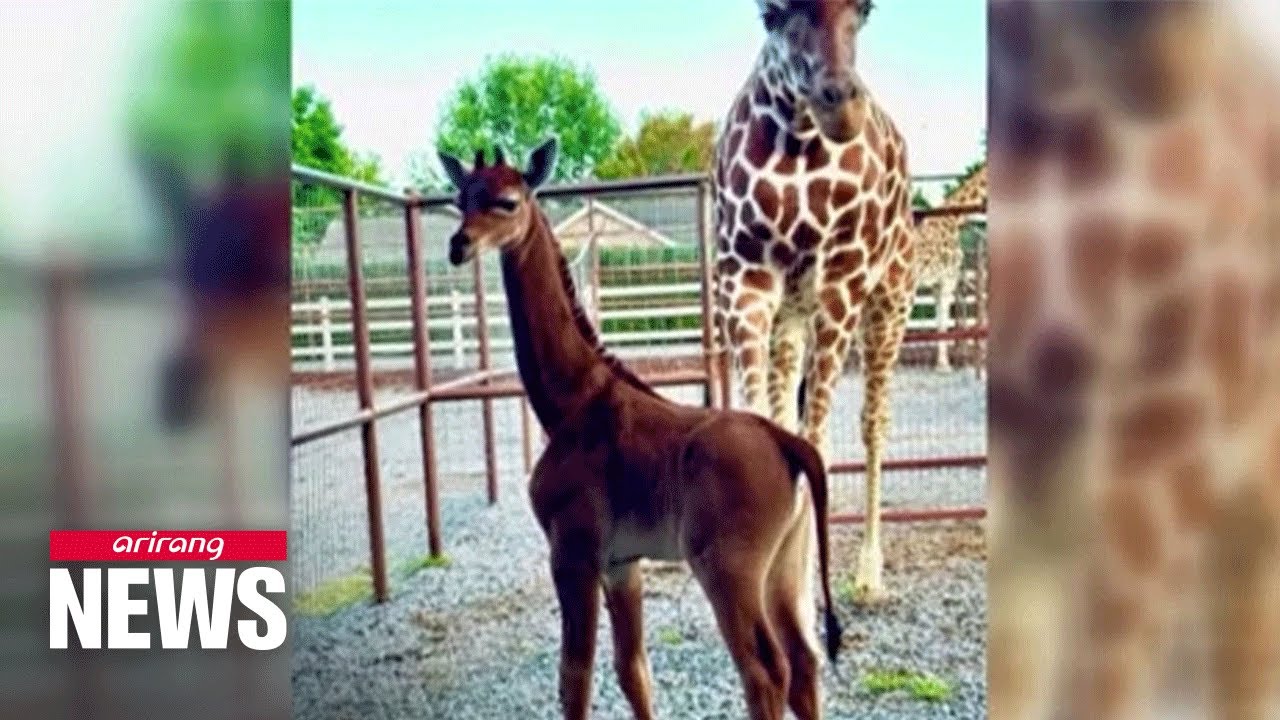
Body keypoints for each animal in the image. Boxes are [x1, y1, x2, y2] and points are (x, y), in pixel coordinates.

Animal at [713, 0, 914, 601]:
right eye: (770, 12)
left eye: (866, 10)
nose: (839, 105)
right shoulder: (744, 281)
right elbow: (766, 426)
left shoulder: (841, 282)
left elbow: (817, 440)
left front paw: (801, 593)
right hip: (792, 316)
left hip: (889, 300)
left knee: (874, 421)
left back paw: (869, 573)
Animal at [913, 162, 987, 372]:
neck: (954, 218)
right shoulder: (948, 279)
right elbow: (943, 322)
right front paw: (944, 365)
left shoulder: (936, 284)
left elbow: (940, 321)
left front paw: (941, 364)